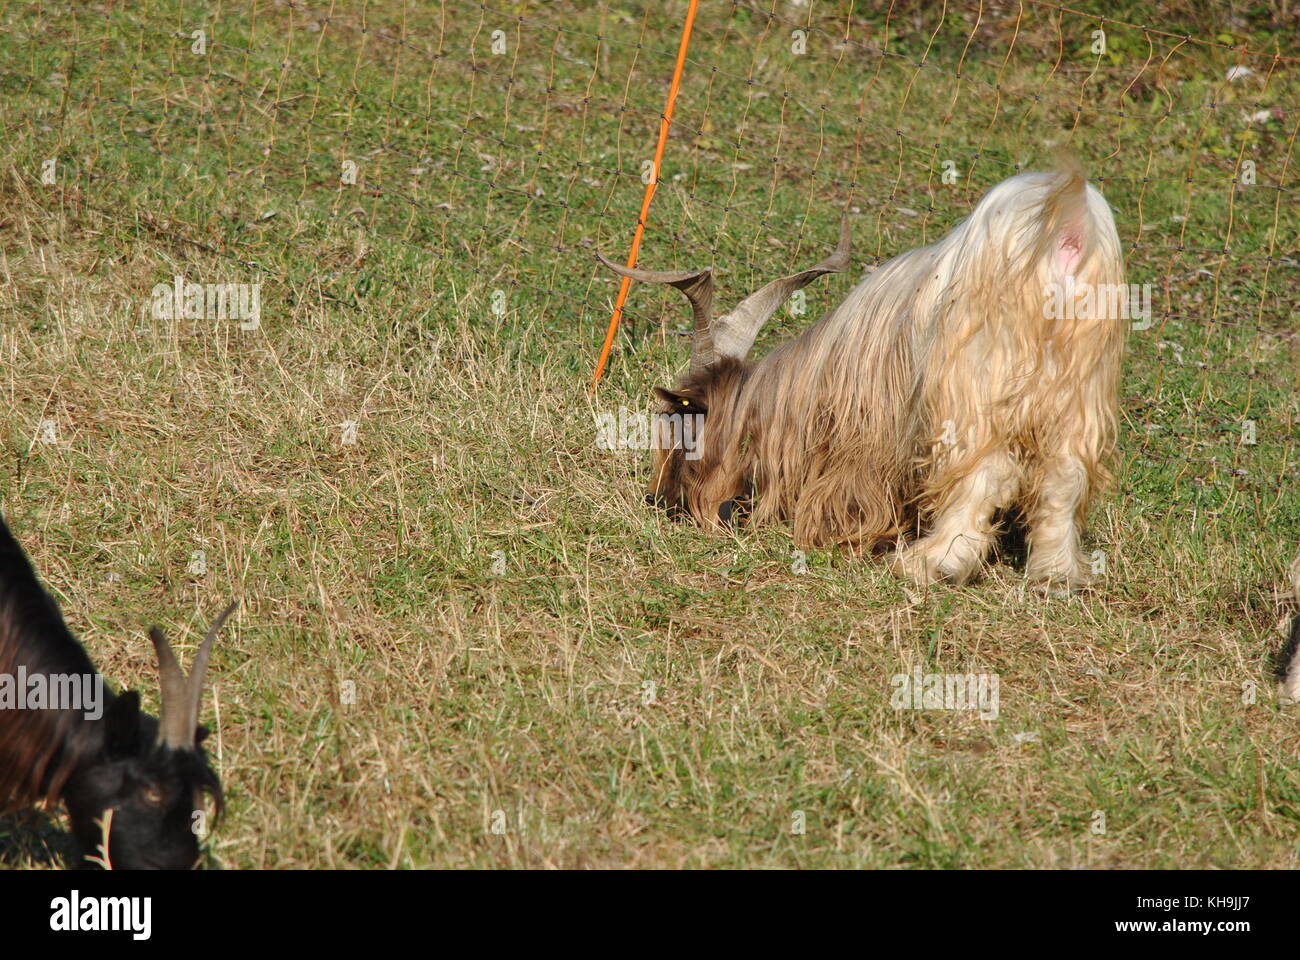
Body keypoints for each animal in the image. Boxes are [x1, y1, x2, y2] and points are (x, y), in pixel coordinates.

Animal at [601, 163, 1126, 593]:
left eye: (677, 425)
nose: (660, 501)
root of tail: (1065, 227)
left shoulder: (868, 442)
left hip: (977, 382)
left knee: (987, 473)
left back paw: (932, 565)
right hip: (1079, 385)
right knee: (1065, 475)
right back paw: (1054, 576)